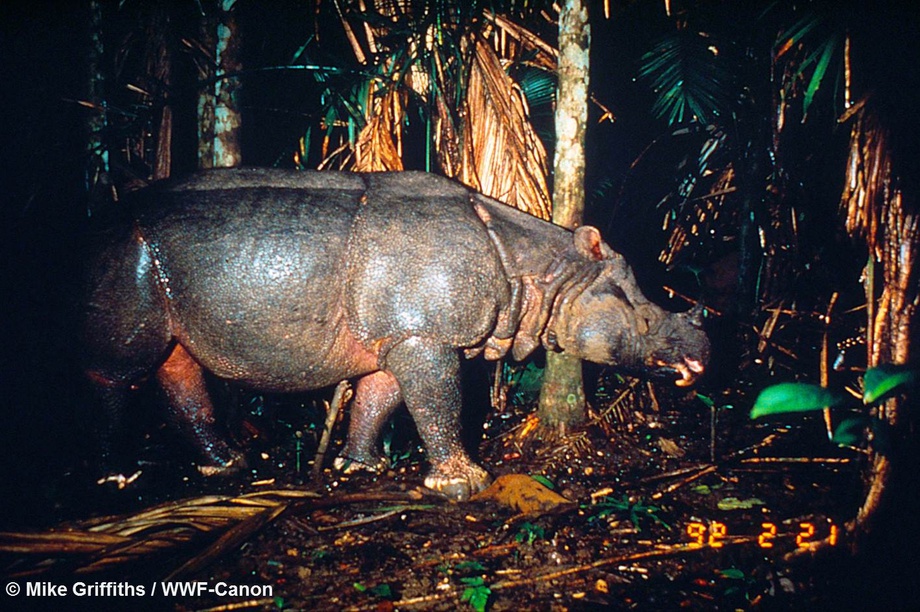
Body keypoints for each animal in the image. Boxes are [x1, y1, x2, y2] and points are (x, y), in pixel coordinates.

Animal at [81, 169, 709, 500]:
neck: (543, 269)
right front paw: (464, 485)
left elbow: (379, 400)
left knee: (175, 363)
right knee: (120, 369)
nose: (705, 349)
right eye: (645, 317)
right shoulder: (424, 335)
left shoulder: (398, 332)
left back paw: (228, 465)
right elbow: (437, 402)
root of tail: (99, 224)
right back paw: (117, 475)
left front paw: (362, 469)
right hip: (128, 255)